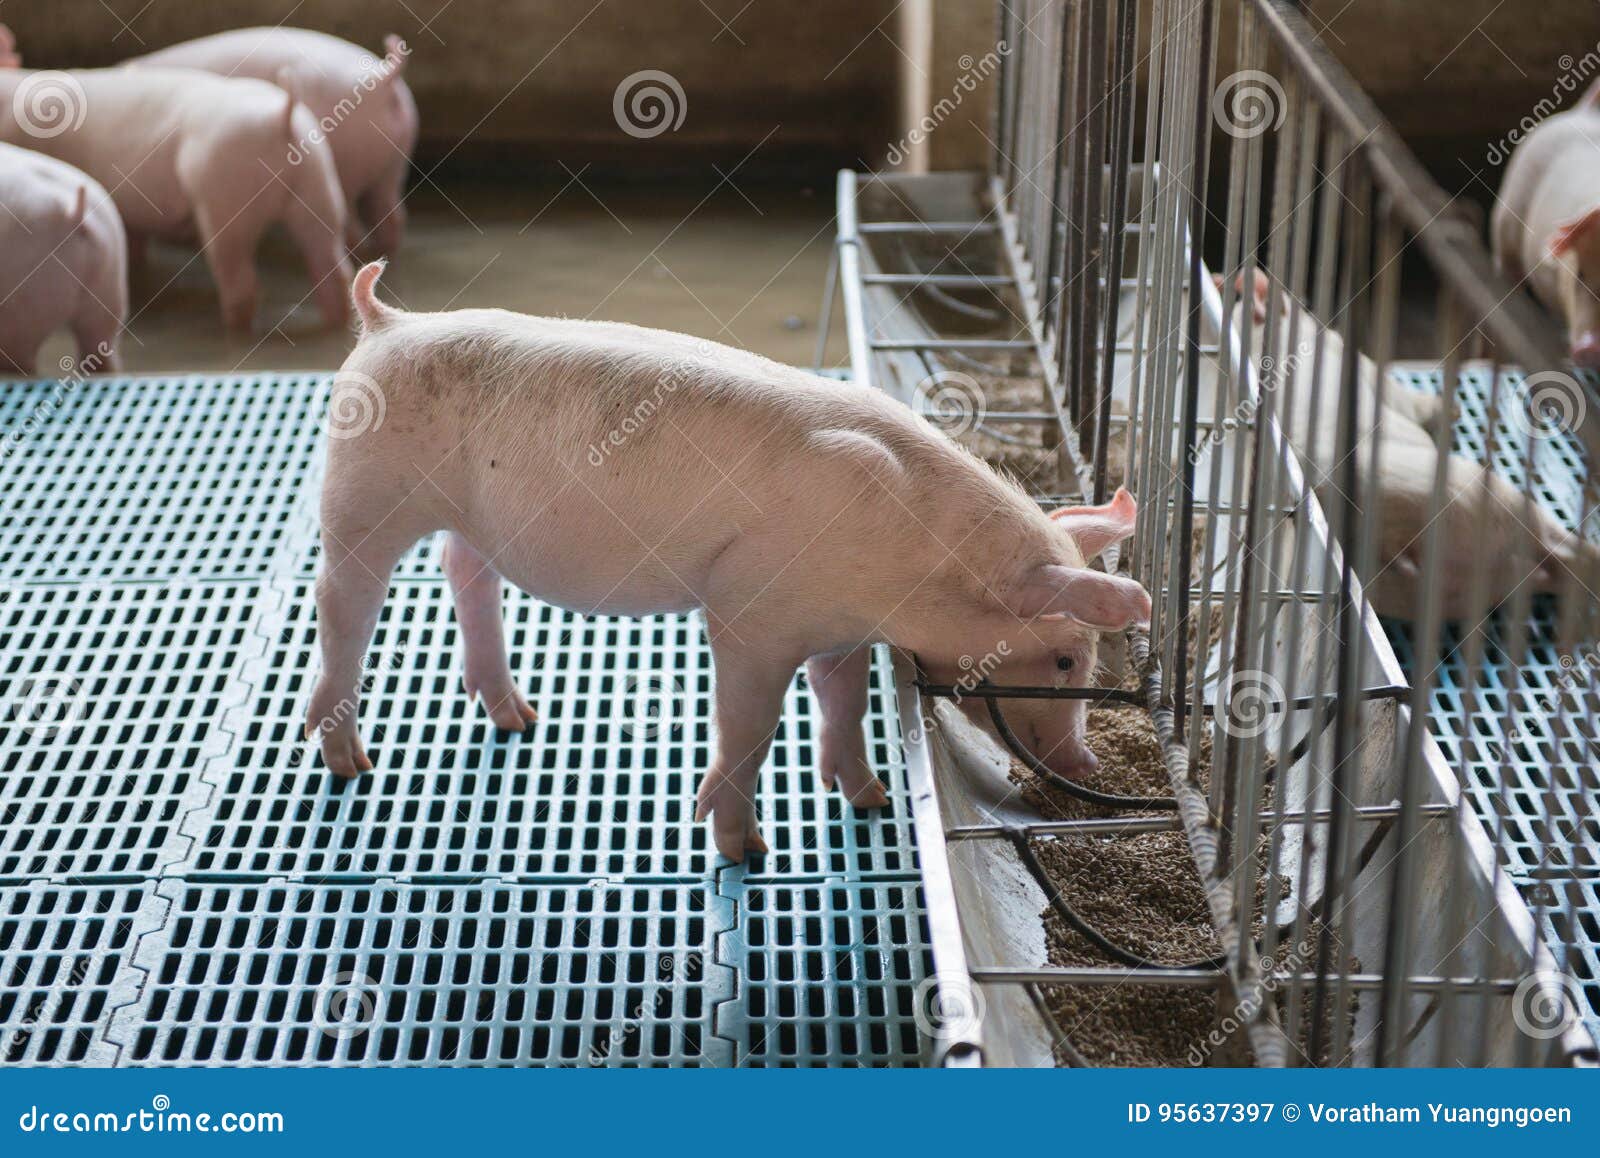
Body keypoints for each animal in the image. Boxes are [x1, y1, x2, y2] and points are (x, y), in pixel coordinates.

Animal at [0, 25, 352, 331]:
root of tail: (283, 114)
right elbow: (136, 245)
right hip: (318, 182)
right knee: (333, 266)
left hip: (224, 195)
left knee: (241, 283)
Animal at [308, 262, 1153, 861]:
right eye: (1069, 660)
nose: (1088, 766)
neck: (913, 570)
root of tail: (386, 323)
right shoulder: (750, 608)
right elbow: (753, 725)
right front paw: (746, 849)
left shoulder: (843, 624)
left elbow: (842, 701)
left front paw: (871, 799)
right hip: (363, 493)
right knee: (344, 600)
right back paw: (351, 763)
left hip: (473, 523)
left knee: (466, 573)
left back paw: (520, 717)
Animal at [1225, 270, 1598, 619]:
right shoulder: (1361, 366)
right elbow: (1405, 397)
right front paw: (1450, 409)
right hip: (1482, 494)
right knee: (1562, 550)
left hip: (1453, 591)